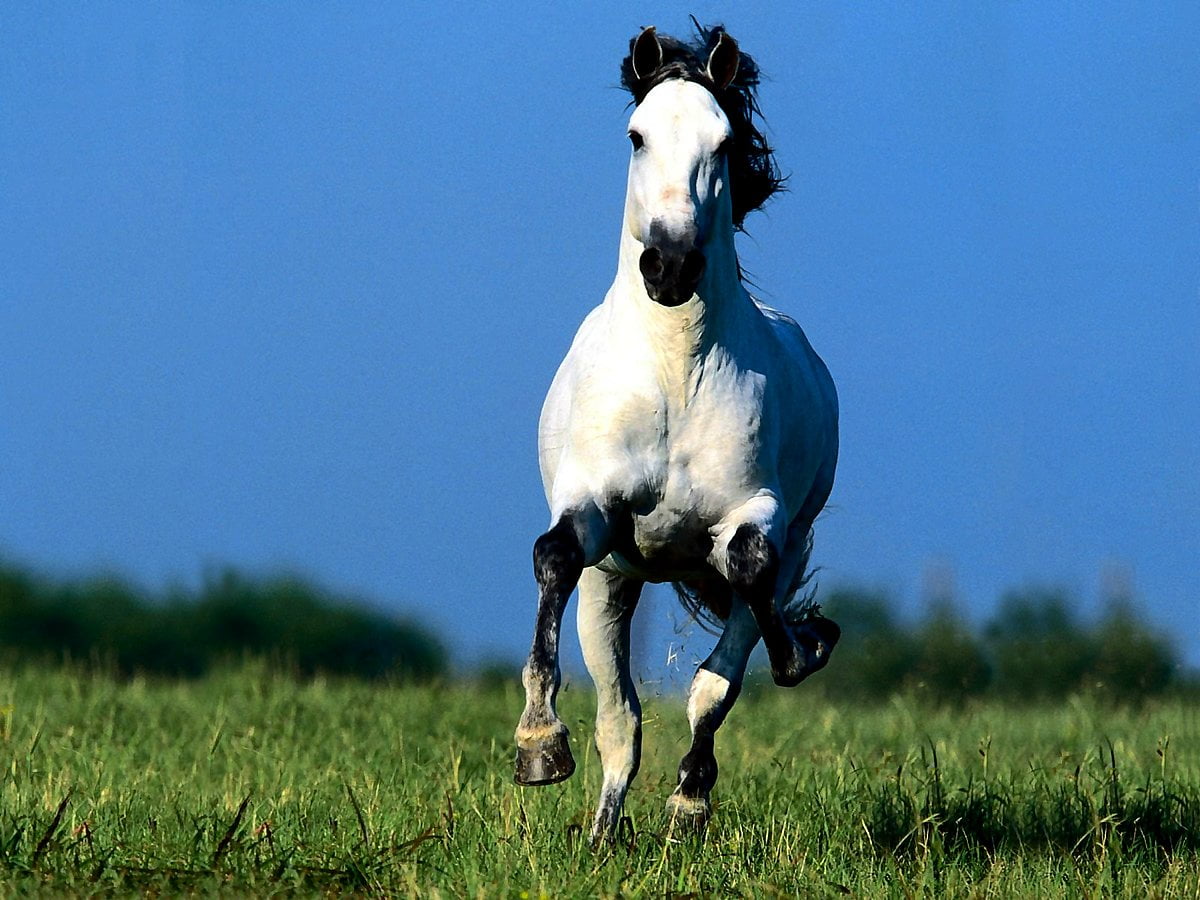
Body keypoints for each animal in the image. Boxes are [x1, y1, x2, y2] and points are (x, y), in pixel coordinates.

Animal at [514, 22, 841, 843]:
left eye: (722, 142)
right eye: (637, 136)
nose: (668, 264)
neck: (675, 371)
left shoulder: (757, 517)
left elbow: (747, 587)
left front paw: (804, 650)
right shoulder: (592, 510)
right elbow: (552, 555)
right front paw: (537, 745)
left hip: (785, 542)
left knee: (718, 669)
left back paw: (688, 803)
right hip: (612, 587)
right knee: (618, 717)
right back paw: (602, 834)